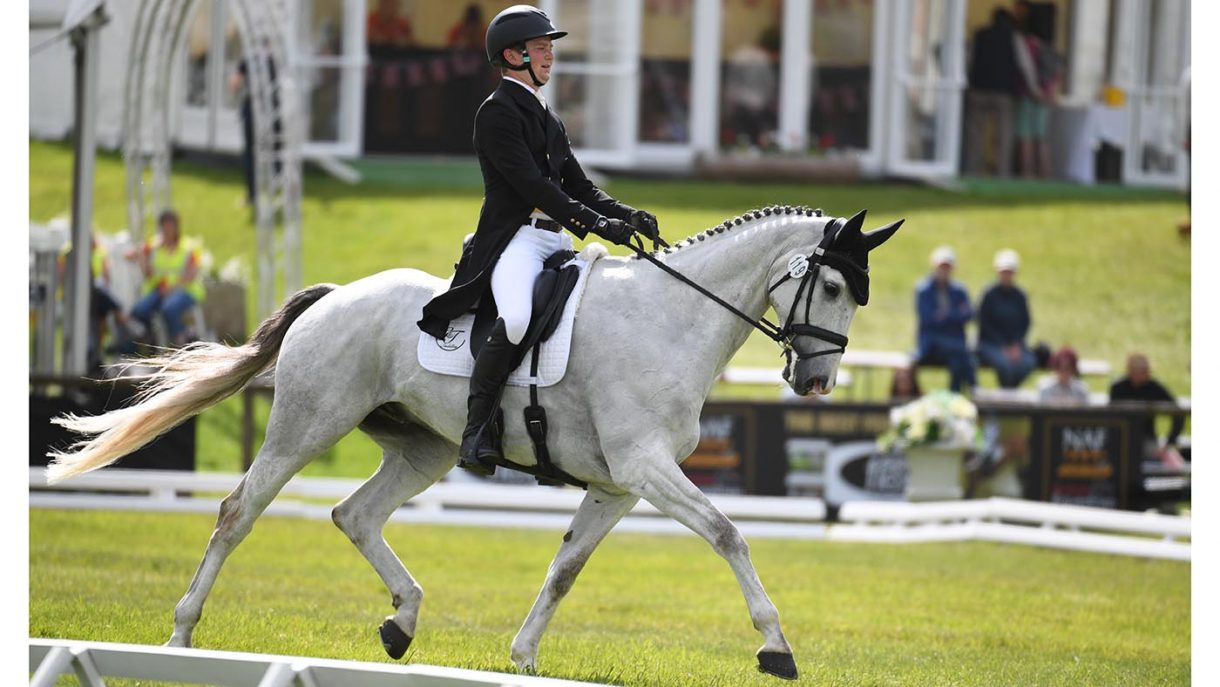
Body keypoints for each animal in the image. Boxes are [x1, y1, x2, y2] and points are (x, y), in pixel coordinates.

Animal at [47, 205, 901, 680]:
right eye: (830, 286)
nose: (816, 381)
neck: (670, 316)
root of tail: (335, 295)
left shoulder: (617, 484)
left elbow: (564, 569)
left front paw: (523, 657)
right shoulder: (645, 467)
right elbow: (728, 533)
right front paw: (776, 646)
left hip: (422, 446)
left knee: (355, 515)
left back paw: (402, 620)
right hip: (306, 424)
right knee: (238, 511)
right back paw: (182, 631)